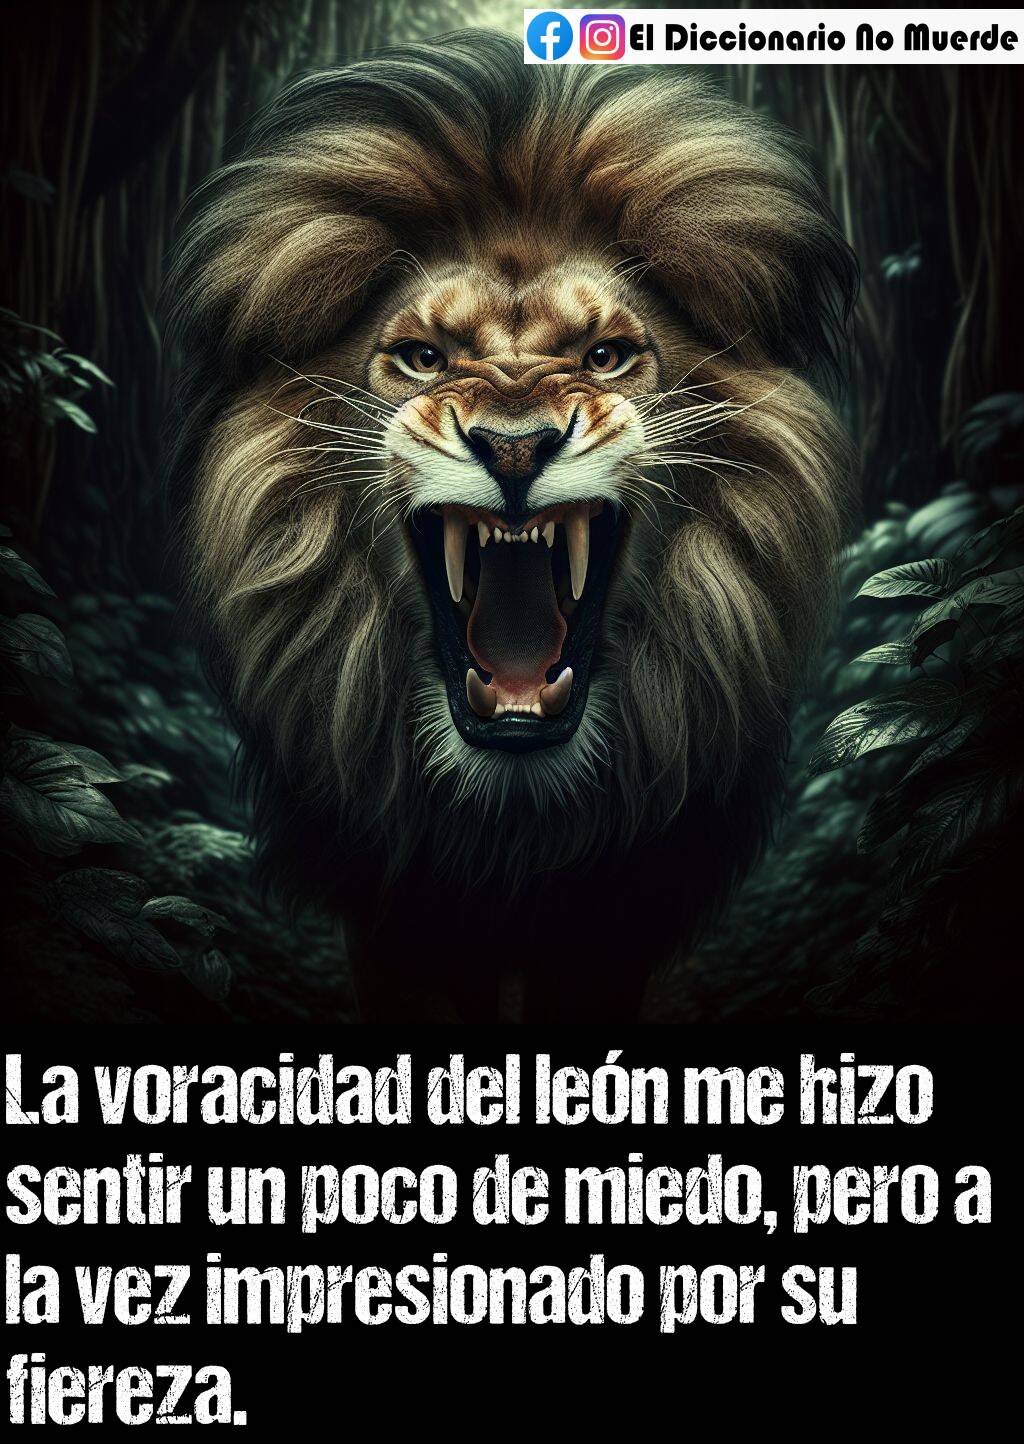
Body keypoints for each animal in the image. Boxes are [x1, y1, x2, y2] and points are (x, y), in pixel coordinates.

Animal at [166, 31, 857, 1021]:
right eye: (423, 358)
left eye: (605, 356)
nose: (516, 447)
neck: (517, 822)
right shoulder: (393, 915)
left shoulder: (618, 926)